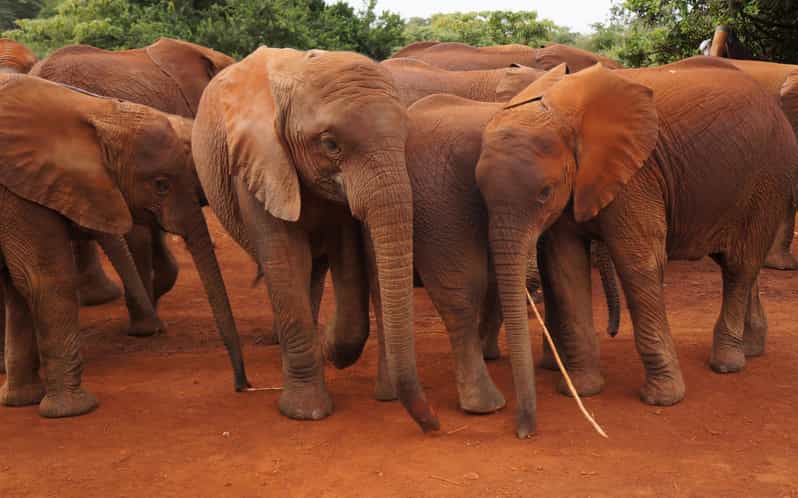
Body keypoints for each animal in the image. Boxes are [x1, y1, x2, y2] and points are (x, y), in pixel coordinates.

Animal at [0, 74, 248, 417]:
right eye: (161, 185)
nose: (242, 385)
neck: (91, 110)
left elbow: (17, 287)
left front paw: (21, 401)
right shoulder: (19, 191)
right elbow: (44, 280)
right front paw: (73, 410)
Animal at [192, 47, 439, 432]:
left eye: (405, 139)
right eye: (330, 144)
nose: (434, 426)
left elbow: (348, 256)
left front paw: (329, 348)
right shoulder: (256, 163)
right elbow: (285, 259)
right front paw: (305, 412)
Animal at [470, 57, 797, 434]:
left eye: (544, 193)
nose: (524, 431)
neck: (560, 113)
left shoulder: (636, 176)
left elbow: (637, 262)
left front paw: (662, 399)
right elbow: (565, 267)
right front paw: (582, 389)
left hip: (768, 178)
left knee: (739, 266)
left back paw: (728, 363)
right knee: (741, 262)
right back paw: (752, 348)